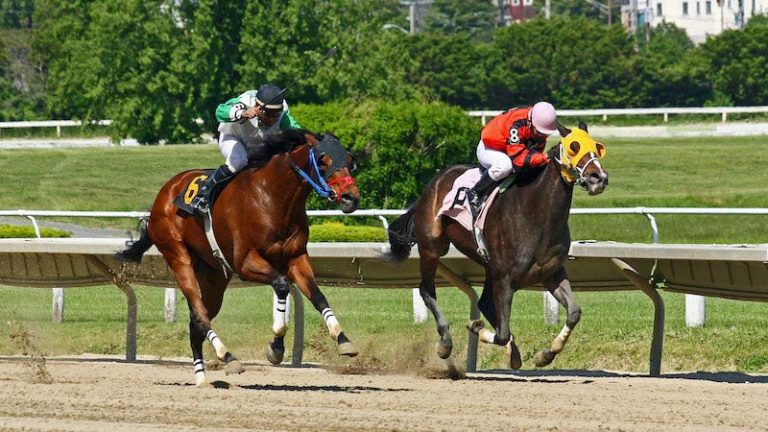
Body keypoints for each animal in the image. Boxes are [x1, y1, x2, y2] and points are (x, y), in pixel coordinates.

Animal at [117, 129, 360, 386]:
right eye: (324, 160)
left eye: (350, 160)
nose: (350, 198)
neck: (272, 198)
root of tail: (166, 191)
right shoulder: (245, 262)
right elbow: (282, 285)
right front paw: (276, 347)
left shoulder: (296, 258)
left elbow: (318, 296)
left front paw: (343, 340)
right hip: (177, 255)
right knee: (200, 314)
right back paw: (227, 356)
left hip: (214, 276)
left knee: (196, 322)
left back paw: (201, 377)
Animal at [384, 122, 608, 369]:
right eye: (573, 147)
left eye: (597, 148)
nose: (599, 178)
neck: (537, 213)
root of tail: (434, 182)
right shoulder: (505, 278)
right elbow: (501, 333)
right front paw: (475, 327)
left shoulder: (551, 273)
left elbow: (574, 312)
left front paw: (546, 354)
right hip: (432, 248)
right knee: (427, 289)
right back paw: (445, 343)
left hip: (488, 266)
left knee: (484, 304)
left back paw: (514, 353)